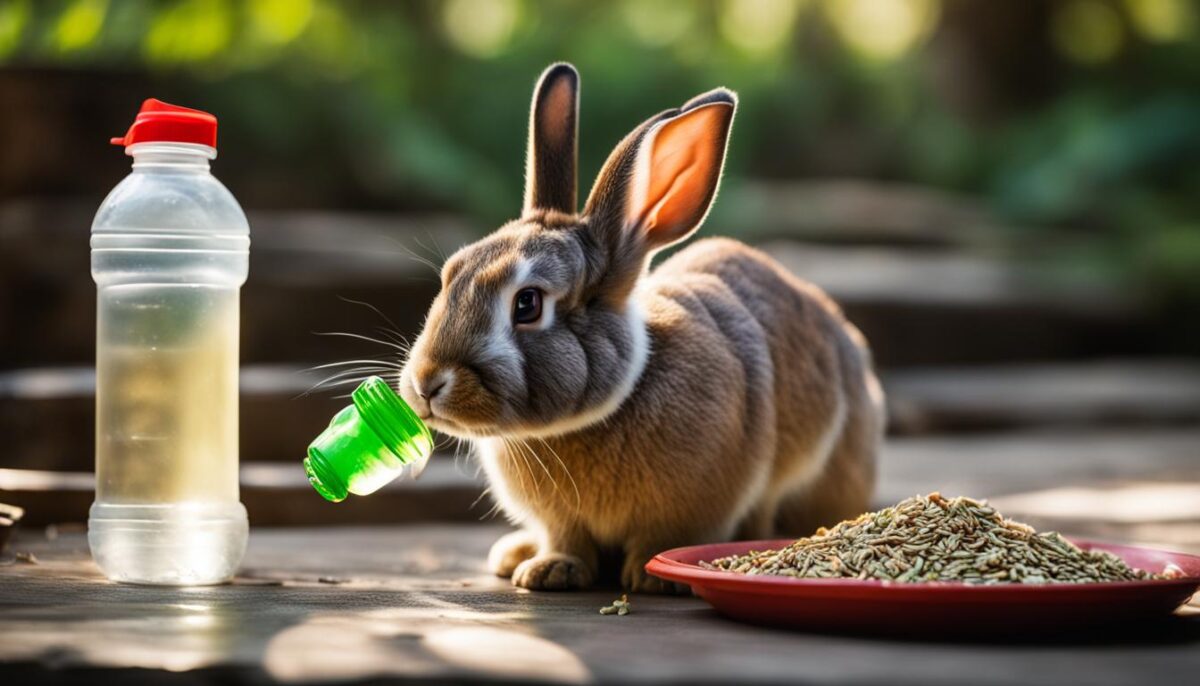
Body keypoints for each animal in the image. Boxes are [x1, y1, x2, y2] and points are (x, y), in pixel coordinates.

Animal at [397, 63, 884, 593]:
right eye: (452, 272)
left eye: (528, 304)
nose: (426, 383)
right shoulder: (561, 521)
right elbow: (567, 539)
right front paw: (552, 569)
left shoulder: (693, 507)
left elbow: (663, 538)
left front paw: (653, 579)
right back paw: (517, 553)